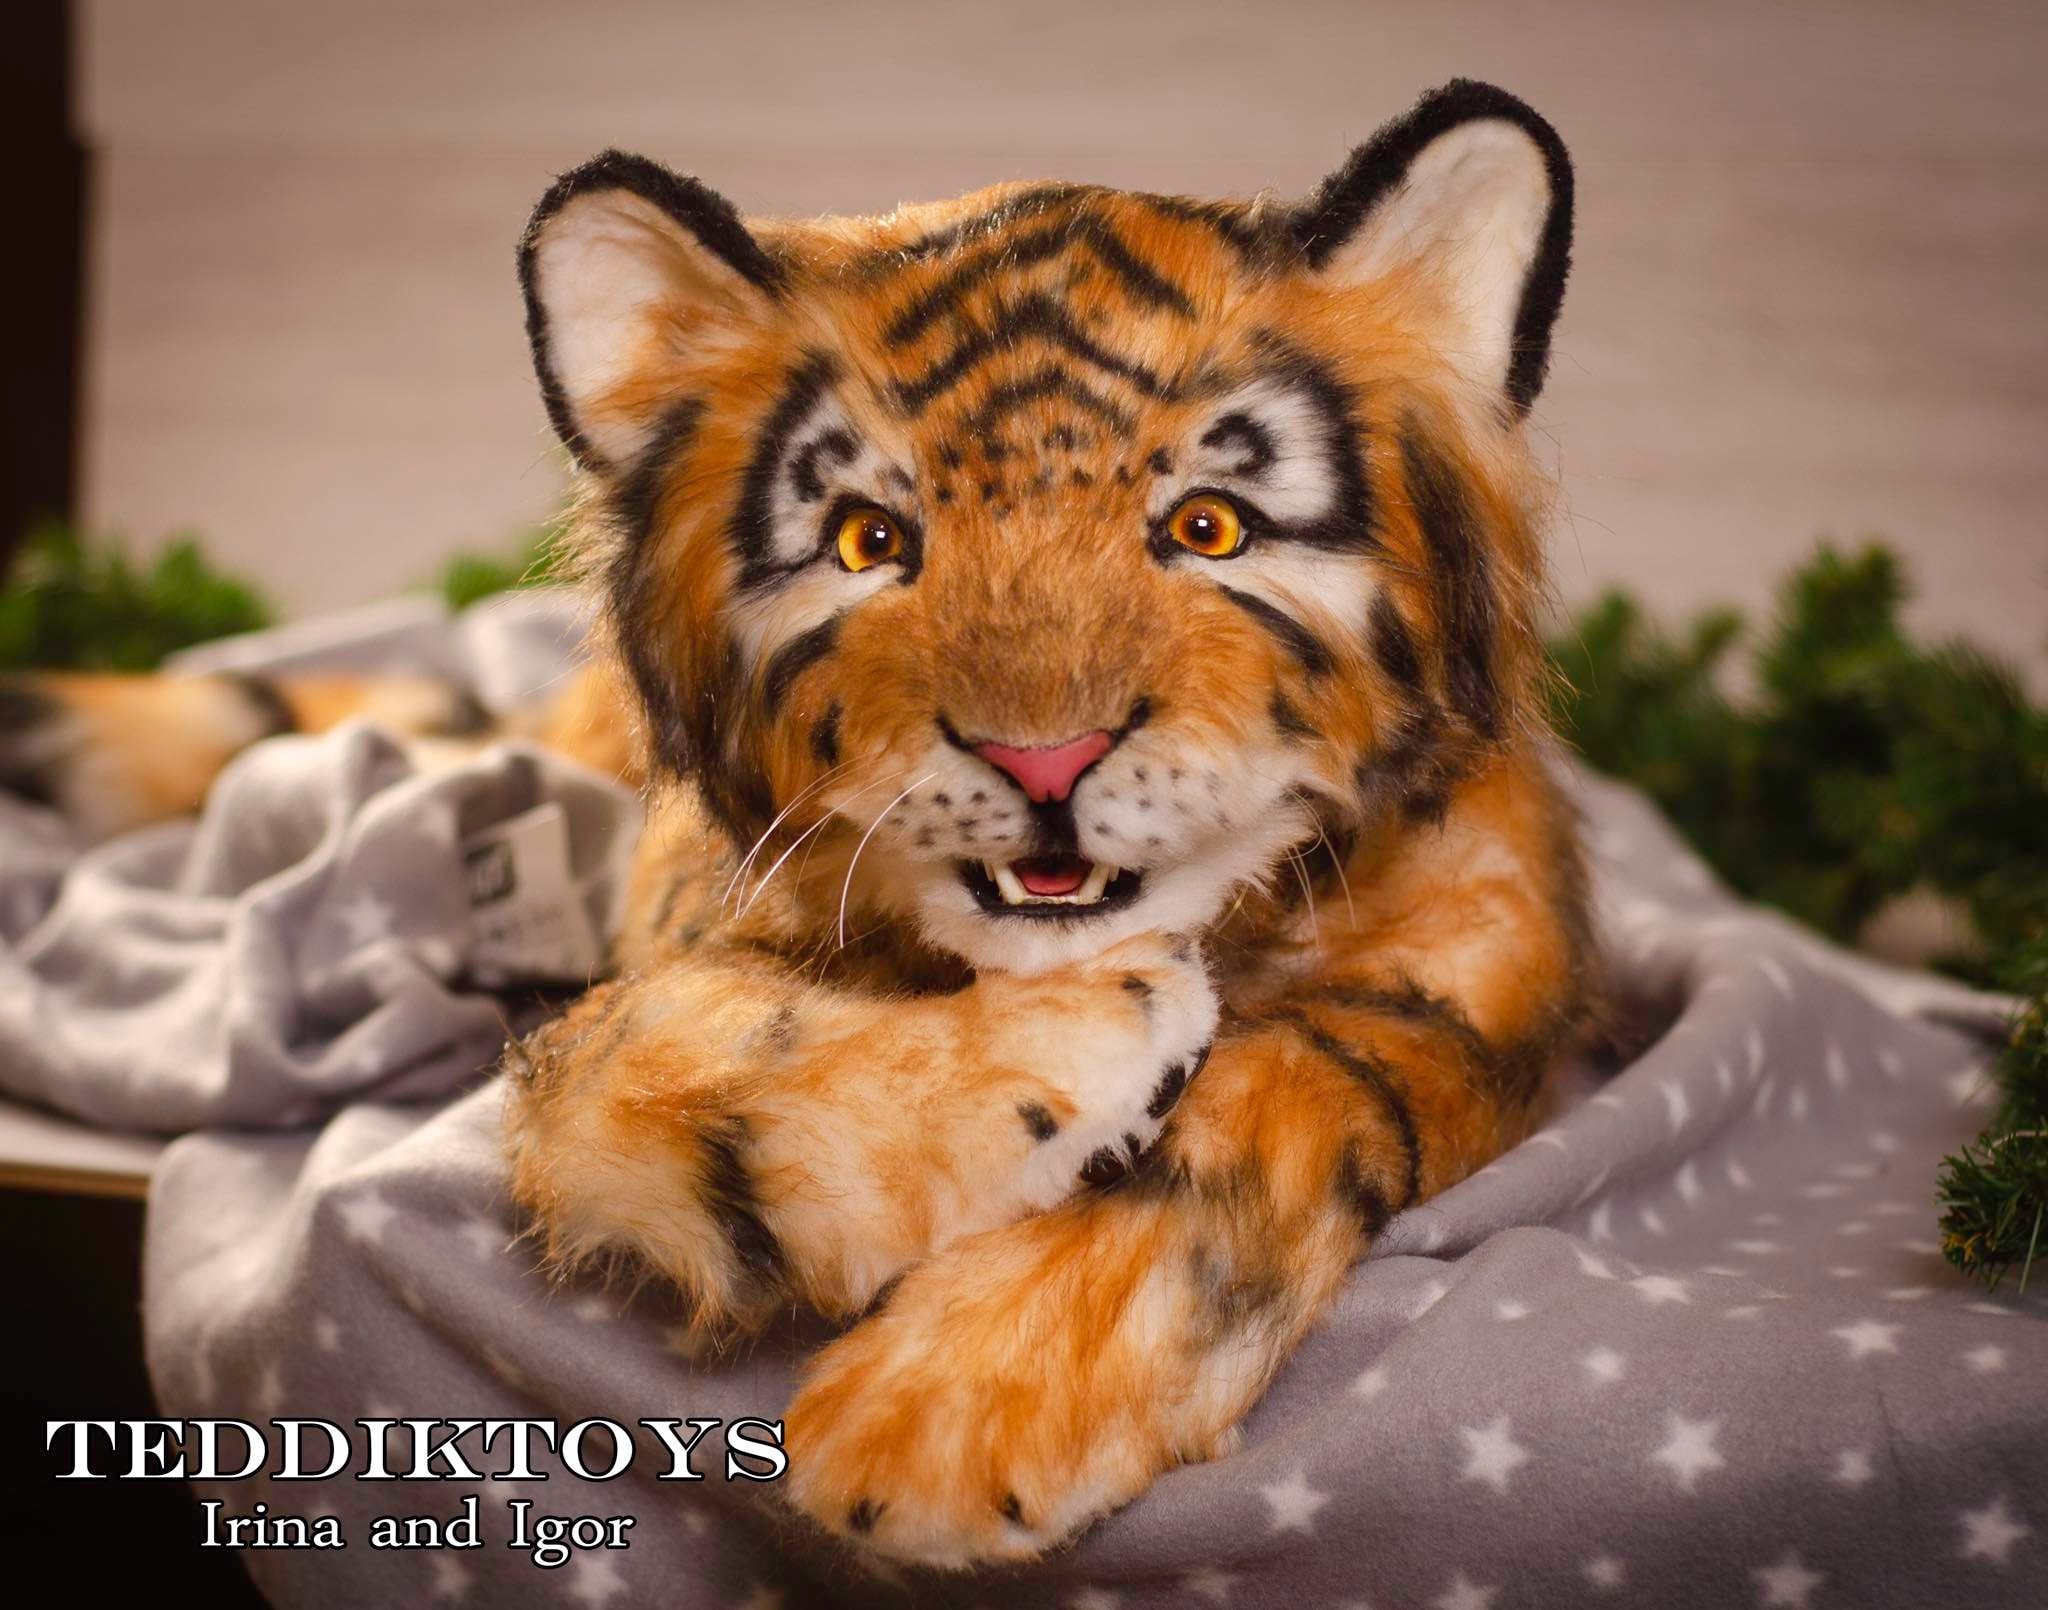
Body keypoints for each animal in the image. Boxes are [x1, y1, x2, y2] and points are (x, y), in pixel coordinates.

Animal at [2, 79, 1594, 1569]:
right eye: (869, 542)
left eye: (1207, 526)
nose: (1045, 753)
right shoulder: (658, 966)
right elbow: (659, 1061)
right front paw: (1071, 1043)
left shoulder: (1478, 988)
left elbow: (1278, 1087)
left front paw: (949, 1410)